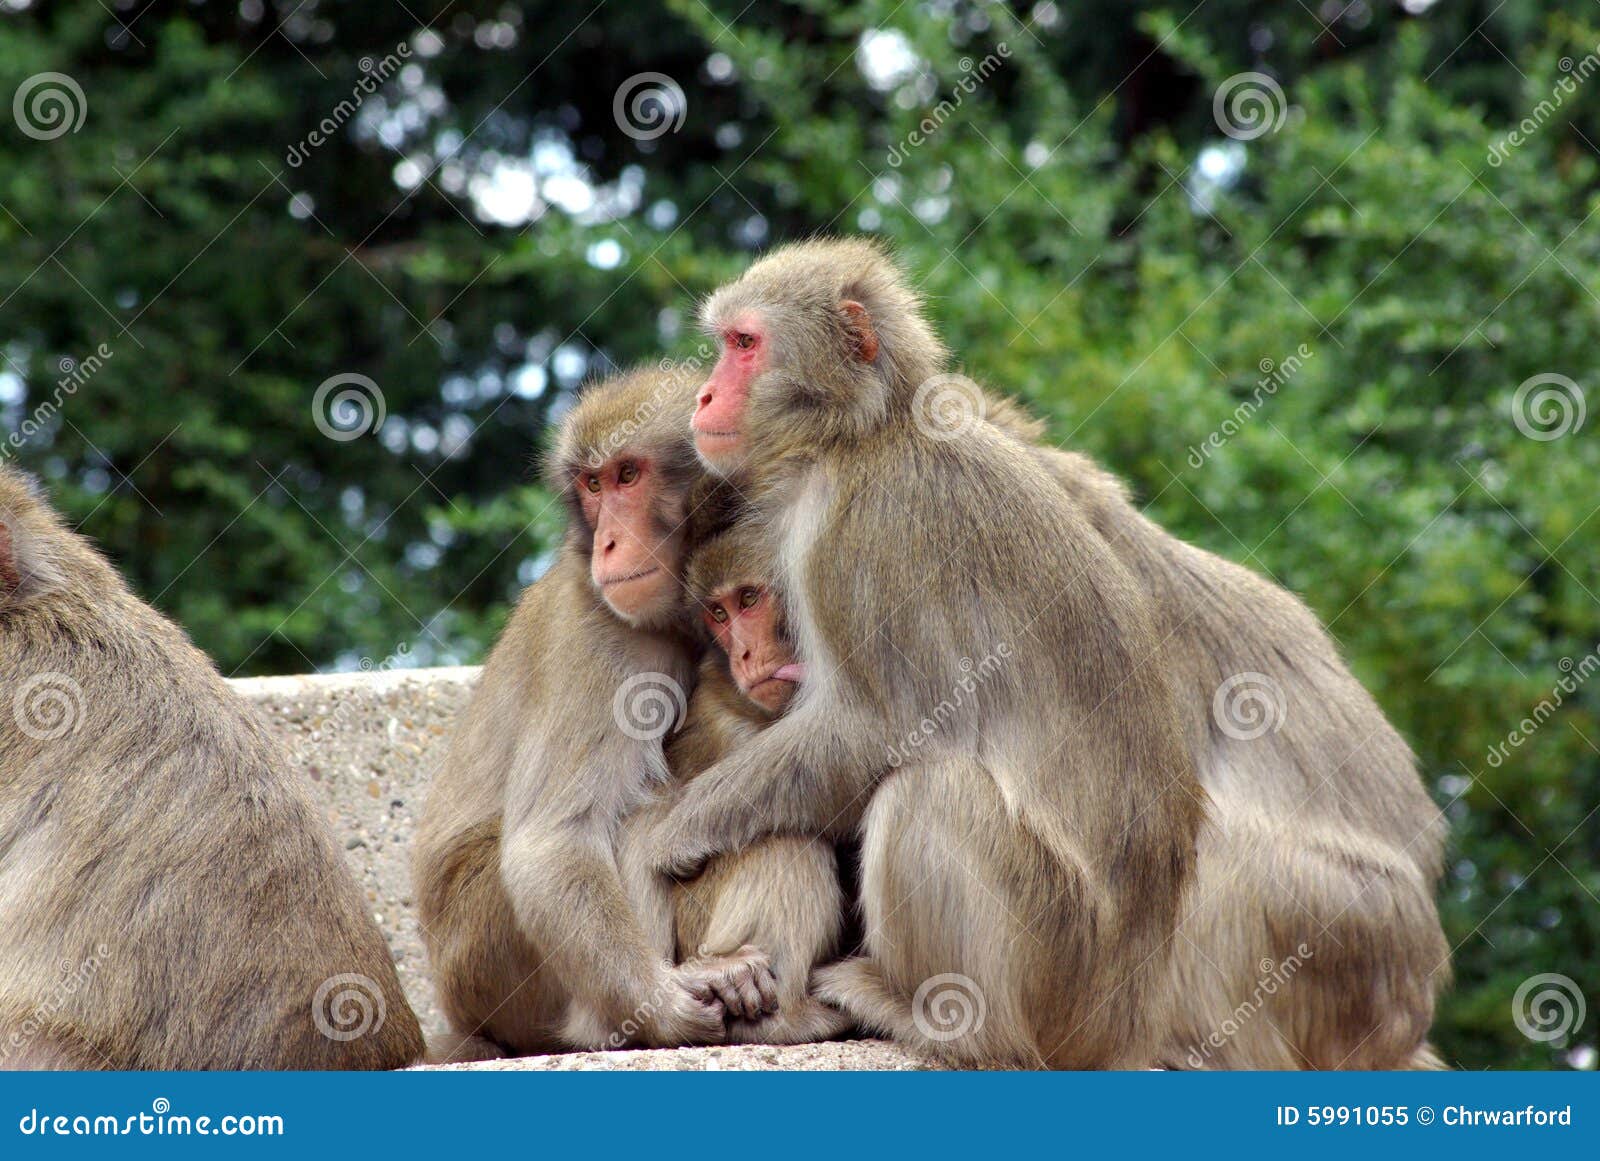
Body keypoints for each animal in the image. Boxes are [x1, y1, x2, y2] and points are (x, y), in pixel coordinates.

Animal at [413, 365, 775, 1063]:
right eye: (592, 485)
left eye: (628, 475)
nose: (608, 541)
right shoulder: (604, 637)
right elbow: (554, 844)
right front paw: (667, 1007)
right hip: (484, 957)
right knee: (632, 806)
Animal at [647, 237, 1206, 1068]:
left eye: (743, 344)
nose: (705, 397)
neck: (865, 434)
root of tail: (1126, 1020)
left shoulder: (853, 537)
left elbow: (877, 726)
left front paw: (672, 834)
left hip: (1057, 963)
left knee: (931, 790)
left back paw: (944, 1021)